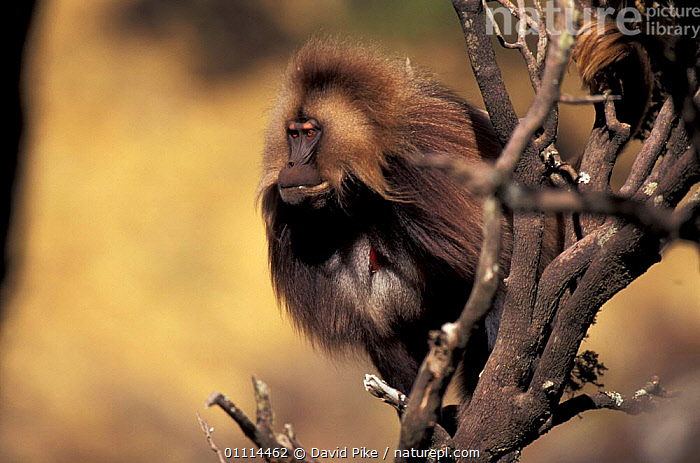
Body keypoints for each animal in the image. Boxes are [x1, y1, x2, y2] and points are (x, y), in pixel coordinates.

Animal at [258, 37, 509, 399]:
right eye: (292, 134)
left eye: (309, 133)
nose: (290, 166)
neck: (359, 191)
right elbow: (377, 324)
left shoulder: (419, 172)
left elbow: (495, 268)